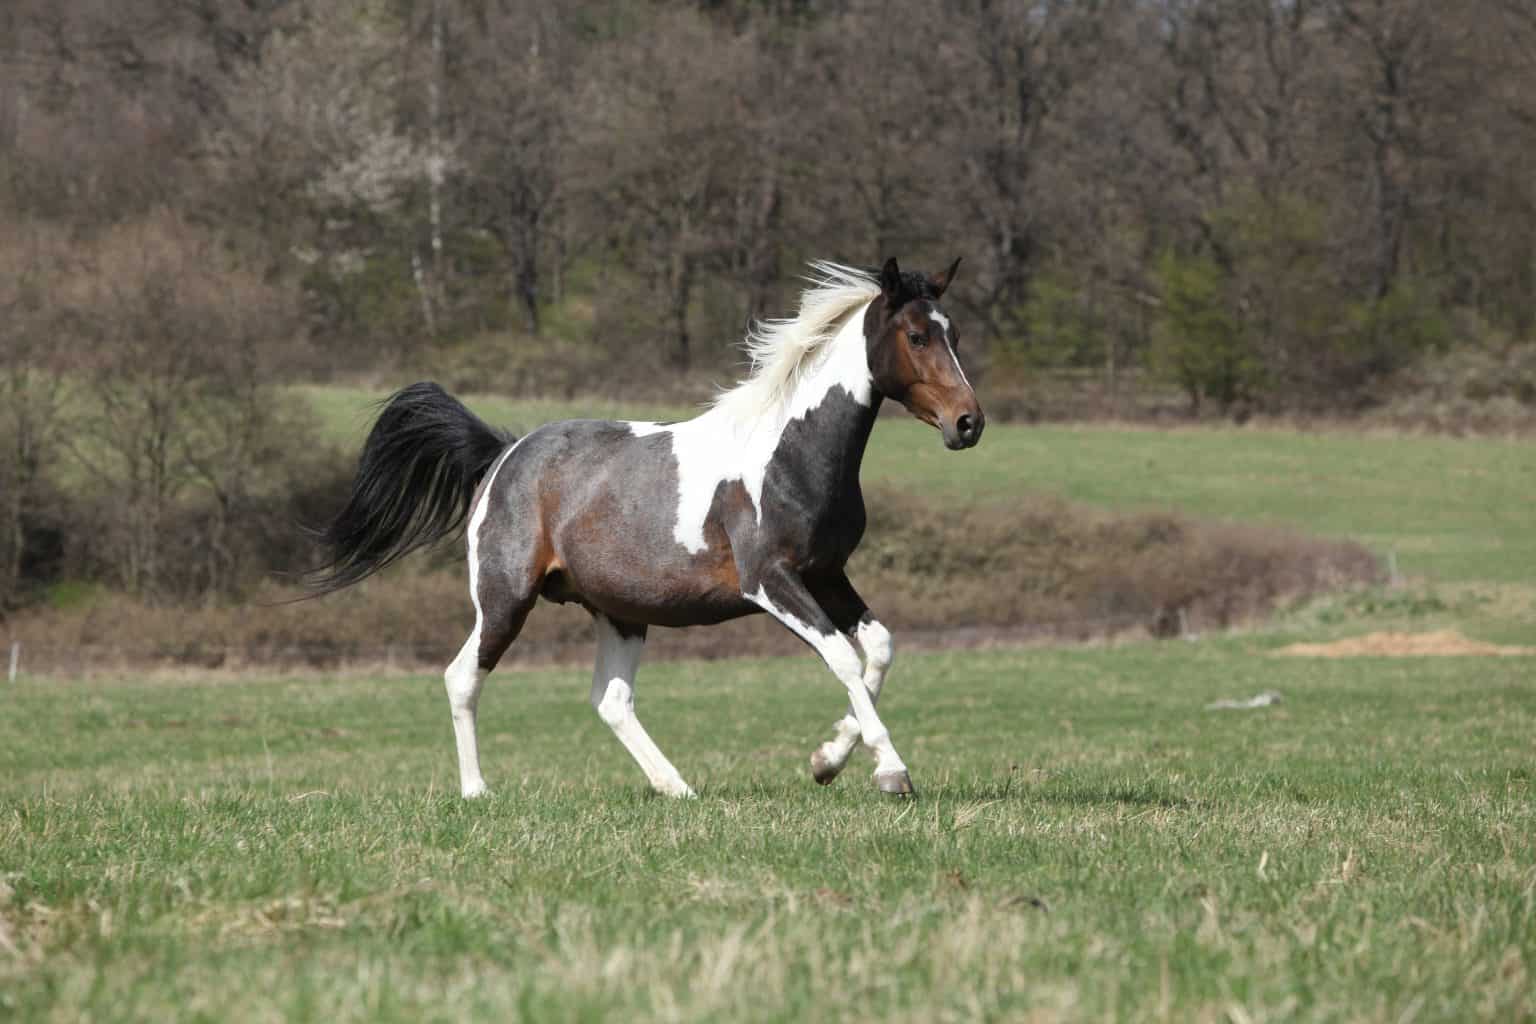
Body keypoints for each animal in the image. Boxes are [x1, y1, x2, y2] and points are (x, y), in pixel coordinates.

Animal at [308, 257, 984, 799]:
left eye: (954, 333)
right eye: (917, 335)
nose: (968, 423)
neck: (789, 452)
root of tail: (504, 452)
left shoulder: (827, 575)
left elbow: (879, 649)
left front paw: (827, 759)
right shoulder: (772, 582)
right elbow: (843, 658)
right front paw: (891, 772)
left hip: (620, 610)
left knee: (610, 700)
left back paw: (677, 788)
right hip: (504, 600)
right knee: (462, 678)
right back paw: (477, 791)